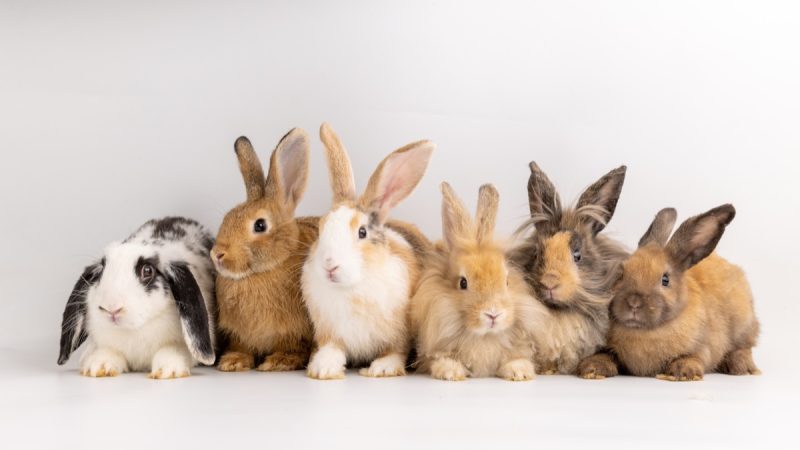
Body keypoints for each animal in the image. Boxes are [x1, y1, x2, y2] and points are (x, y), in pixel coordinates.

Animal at [58, 217, 216, 379]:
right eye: (101, 271)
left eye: (147, 271)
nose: (111, 308)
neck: (134, 330)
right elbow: (108, 351)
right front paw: (98, 367)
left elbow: (173, 350)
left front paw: (166, 371)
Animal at [210, 128, 319, 372]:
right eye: (226, 218)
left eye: (260, 225)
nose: (217, 254)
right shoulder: (239, 335)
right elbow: (241, 347)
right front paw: (232, 362)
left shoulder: (295, 332)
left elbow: (292, 347)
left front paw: (279, 361)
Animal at [302, 122, 434, 380]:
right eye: (321, 228)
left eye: (362, 232)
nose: (329, 265)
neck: (353, 287)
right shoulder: (329, 331)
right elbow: (331, 348)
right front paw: (323, 369)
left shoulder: (400, 333)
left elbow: (395, 351)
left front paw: (382, 368)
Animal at [411, 182, 548, 381]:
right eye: (463, 283)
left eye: (507, 281)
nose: (493, 314)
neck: (484, 337)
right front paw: (450, 372)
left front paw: (519, 372)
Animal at [578, 205, 760, 381]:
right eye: (621, 273)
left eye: (665, 280)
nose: (634, 303)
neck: (645, 332)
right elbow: (605, 355)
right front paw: (592, 369)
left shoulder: (704, 347)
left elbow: (694, 357)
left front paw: (682, 373)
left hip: (743, 325)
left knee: (743, 347)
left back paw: (743, 368)